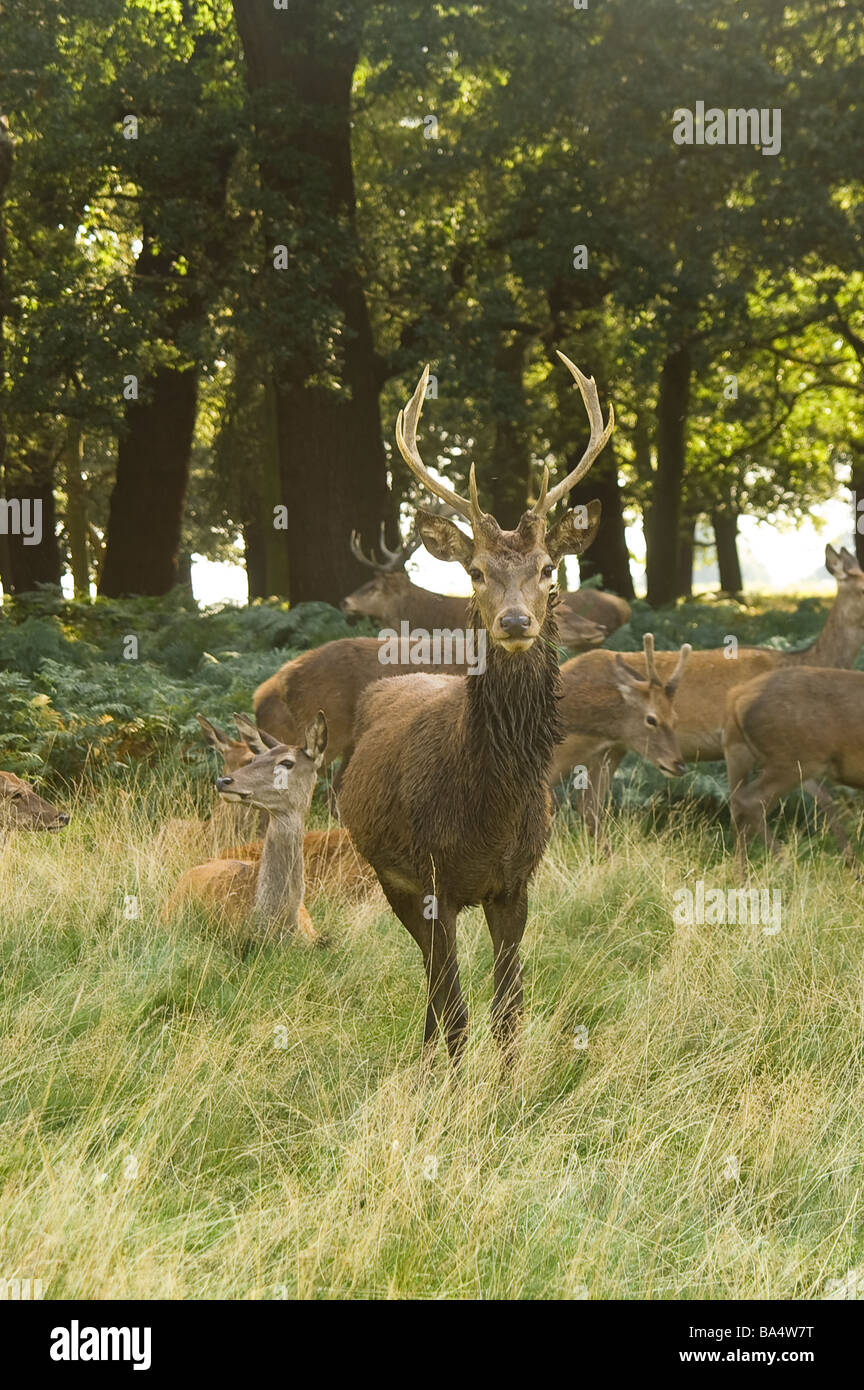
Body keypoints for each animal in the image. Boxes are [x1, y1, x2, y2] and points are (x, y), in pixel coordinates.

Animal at [337, 352, 613, 1065]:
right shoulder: (431, 882)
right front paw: (454, 1085)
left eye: (549, 568)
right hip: (388, 875)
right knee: (437, 988)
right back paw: (429, 1058)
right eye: (477, 572)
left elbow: (509, 1012)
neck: (489, 810)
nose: (515, 621)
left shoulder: (516, 882)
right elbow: (460, 1008)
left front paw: (511, 1084)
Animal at [724, 667, 864, 867]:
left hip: (745, 752)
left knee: (739, 808)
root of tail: (736, 698)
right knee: (748, 801)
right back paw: (787, 865)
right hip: (794, 760)